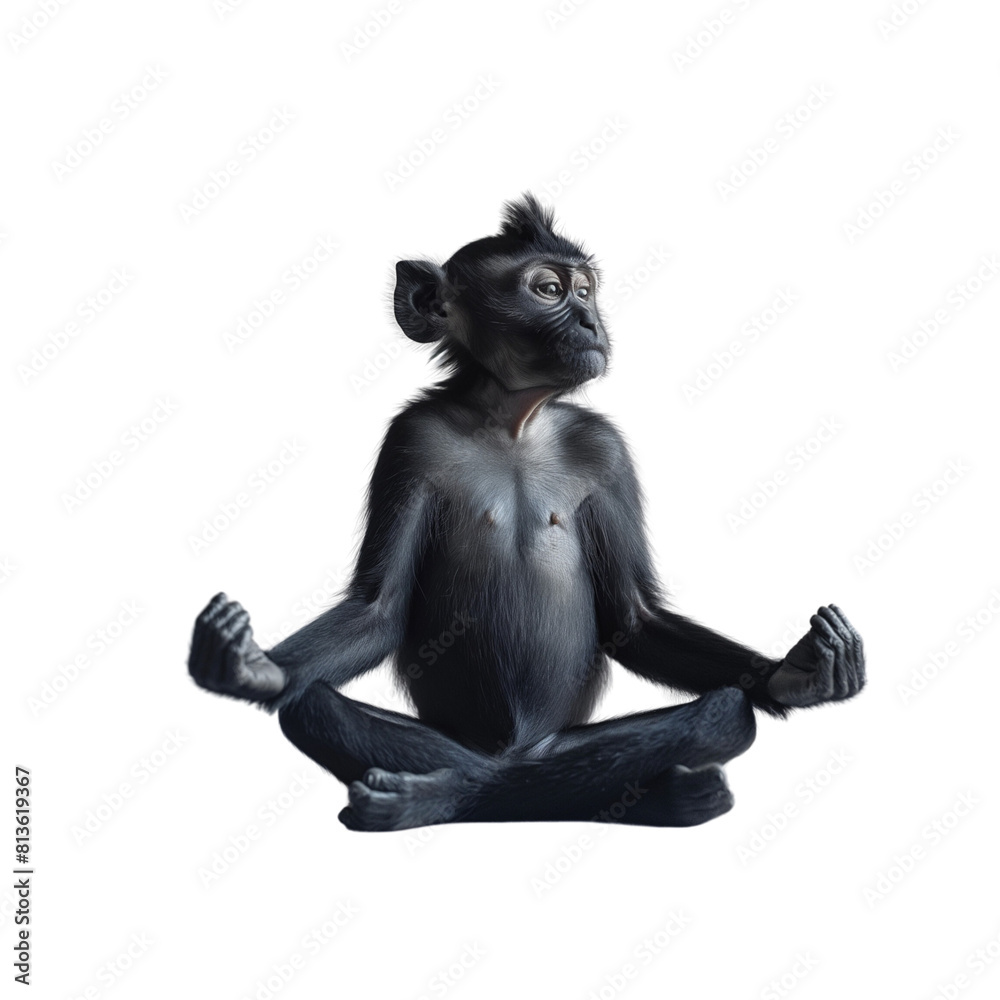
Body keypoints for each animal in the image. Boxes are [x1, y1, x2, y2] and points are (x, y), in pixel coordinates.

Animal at [188, 194, 866, 831]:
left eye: (585, 290)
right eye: (549, 290)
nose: (590, 318)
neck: (513, 422)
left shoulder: (604, 448)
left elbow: (634, 618)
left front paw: (794, 674)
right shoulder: (410, 439)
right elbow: (378, 609)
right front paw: (255, 670)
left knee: (721, 715)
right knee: (316, 708)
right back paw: (442, 793)